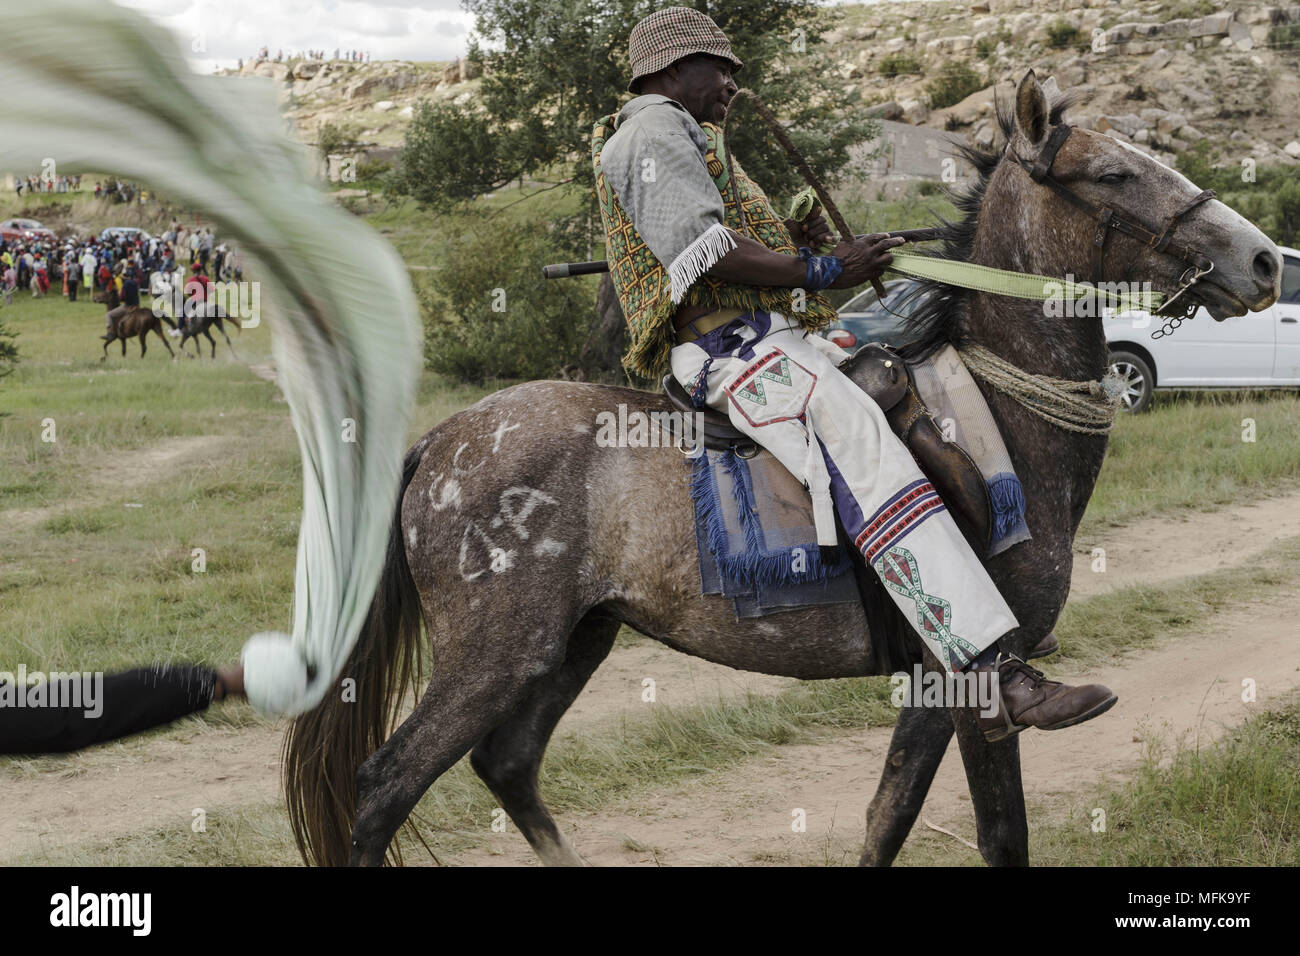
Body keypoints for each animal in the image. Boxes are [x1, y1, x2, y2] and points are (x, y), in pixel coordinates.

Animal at [282, 72, 1279, 868]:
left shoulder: (929, 690)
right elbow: (998, 832)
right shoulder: (969, 683)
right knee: (382, 787)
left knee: (508, 764)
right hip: (494, 656)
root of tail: (437, 444)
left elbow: (888, 817)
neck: (998, 414)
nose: (1264, 260)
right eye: (1113, 176)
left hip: (572, 642)